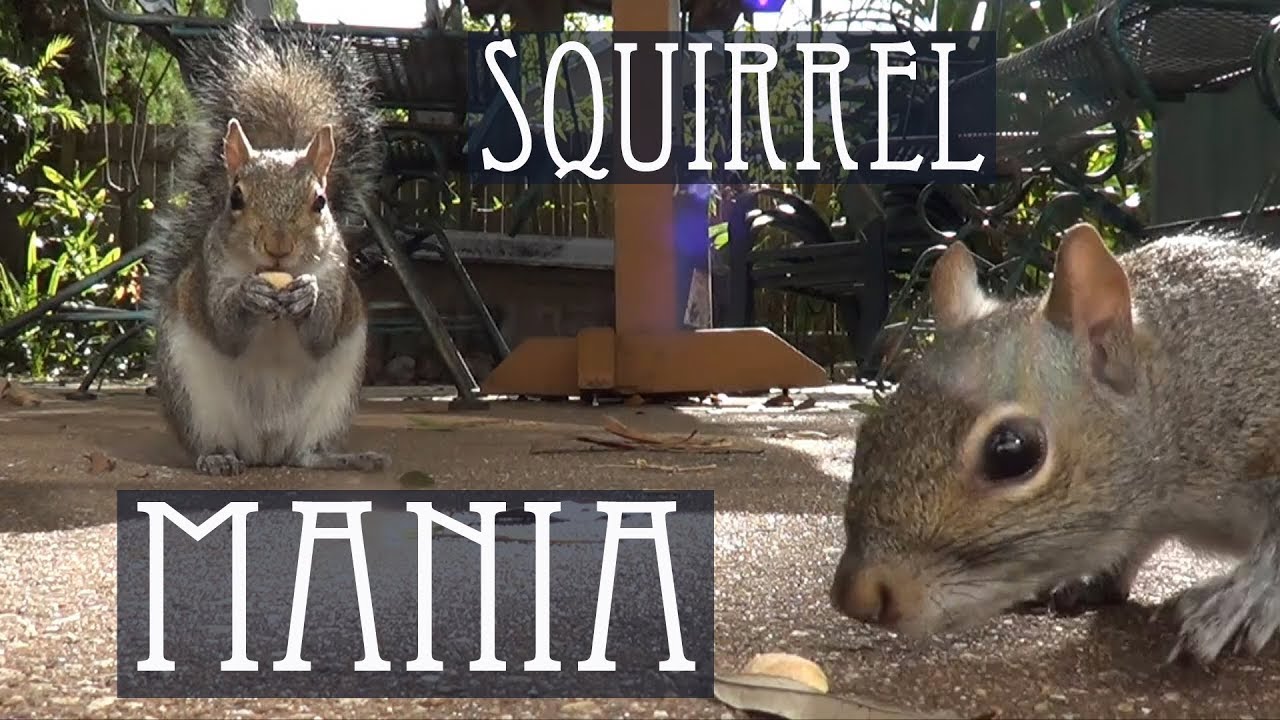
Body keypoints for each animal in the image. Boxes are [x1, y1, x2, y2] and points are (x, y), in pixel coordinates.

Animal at [146, 18, 389, 476]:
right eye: (235, 198)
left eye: (320, 201)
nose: (278, 245)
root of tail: (265, 450)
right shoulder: (213, 273)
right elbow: (226, 331)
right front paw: (249, 294)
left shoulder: (336, 272)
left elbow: (321, 335)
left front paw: (308, 295)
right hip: (193, 398)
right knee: (212, 440)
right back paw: (217, 458)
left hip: (336, 398)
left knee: (307, 455)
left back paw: (345, 458)